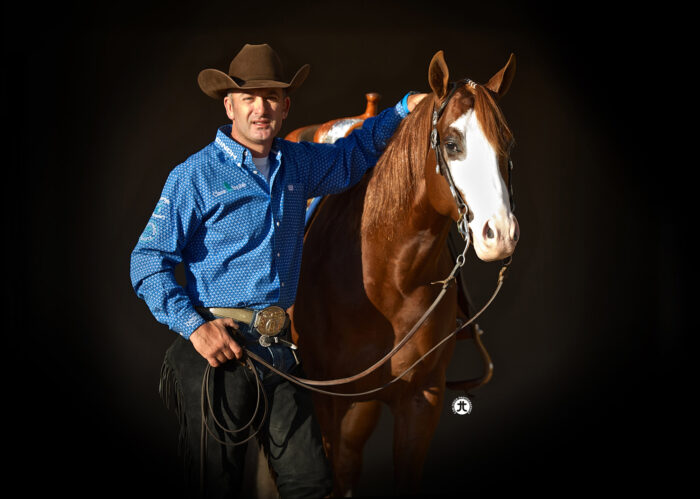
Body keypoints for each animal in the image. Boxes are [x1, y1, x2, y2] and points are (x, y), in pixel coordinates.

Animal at [287, 50, 518, 496]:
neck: (385, 280)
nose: (499, 234)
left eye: (508, 143)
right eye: (452, 144)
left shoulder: (421, 399)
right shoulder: (327, 403)